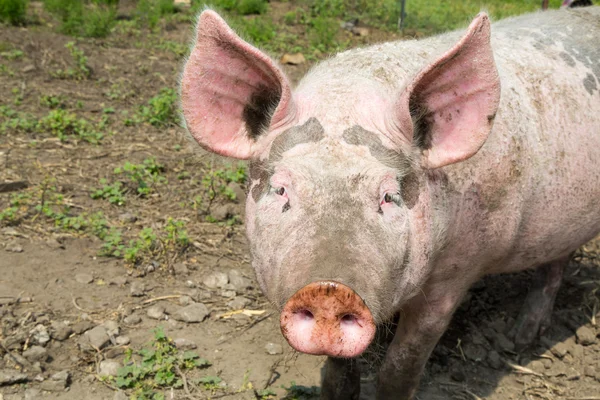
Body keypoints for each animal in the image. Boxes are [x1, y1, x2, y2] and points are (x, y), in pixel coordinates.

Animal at [180, 7, 600, 400]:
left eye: (389, 196)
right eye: (281, 189)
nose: (329, 289)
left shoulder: (455, 277)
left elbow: (399, 370)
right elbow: (339, 373)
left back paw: (519, 339)